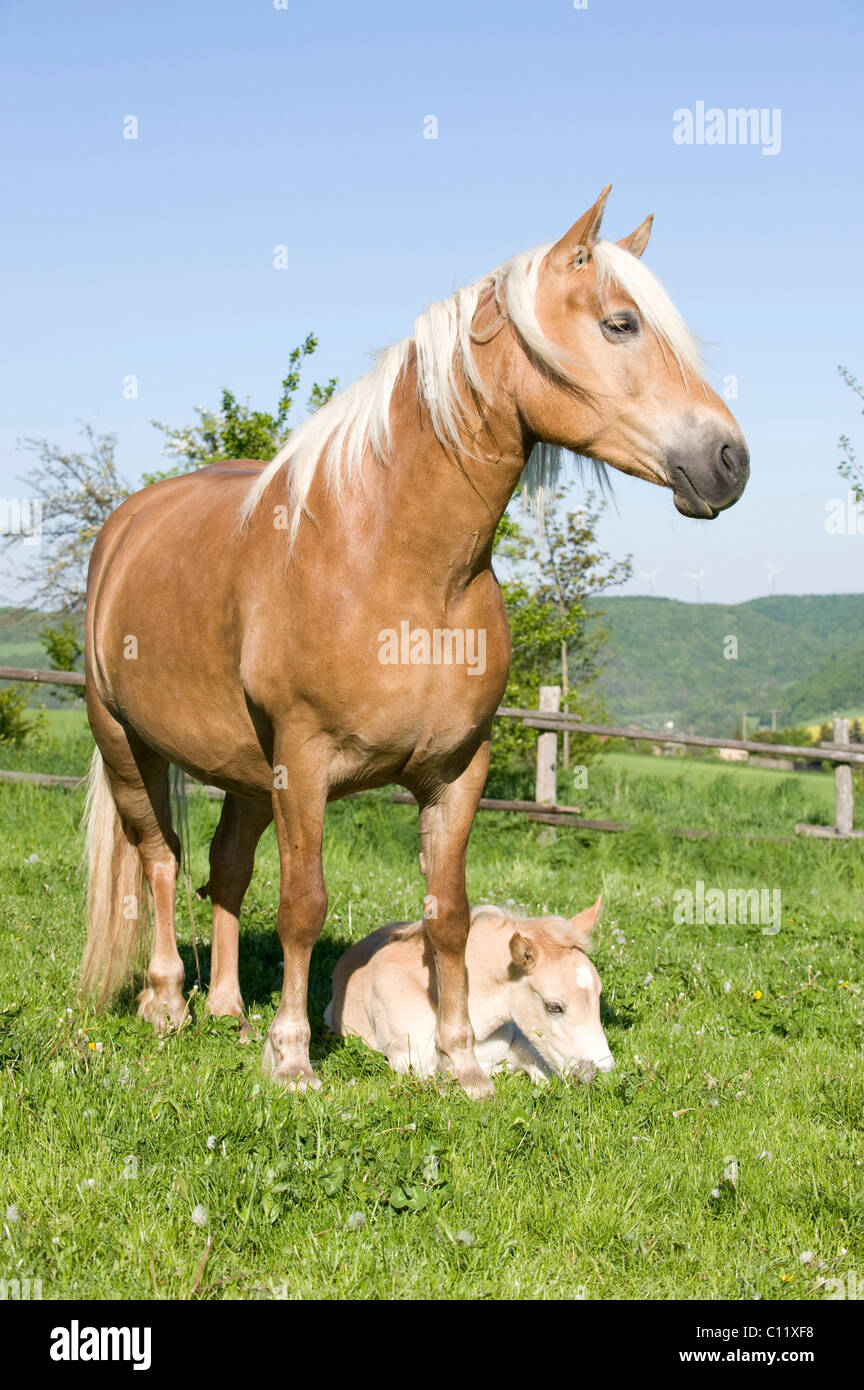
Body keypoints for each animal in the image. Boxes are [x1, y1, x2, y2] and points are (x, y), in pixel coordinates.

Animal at [80, 186, 749, 1097]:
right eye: (620, 323)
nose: (730, 460)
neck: (390, 563)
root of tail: (127, 523)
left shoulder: (454, 771)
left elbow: (449, 917)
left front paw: (463, 1064)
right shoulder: (305, 762)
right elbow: (303, 906)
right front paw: (293, 1058)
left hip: (247, 774)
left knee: (226, 868)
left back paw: (225, 1009)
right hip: (128, 745)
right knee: (160, 860)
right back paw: (165, 1003)